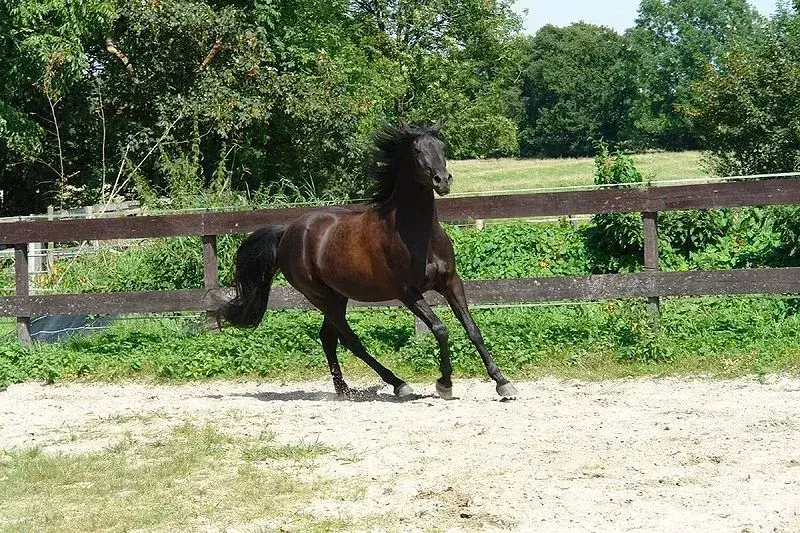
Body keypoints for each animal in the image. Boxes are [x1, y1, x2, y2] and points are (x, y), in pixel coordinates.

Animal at [220, 123, 520, 400]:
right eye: (416, 150)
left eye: (442, 148)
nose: (442, 180)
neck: (417, 234)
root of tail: (287, 231)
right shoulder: (408, 292)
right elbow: (440, 329)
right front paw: (444, 384)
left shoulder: (450, 283)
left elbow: (472, 329)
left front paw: (503, 383)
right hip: (320, 297)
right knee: (350, 340)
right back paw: (399, 385)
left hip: (337, 296)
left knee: (328, 338)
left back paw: (344, 390)